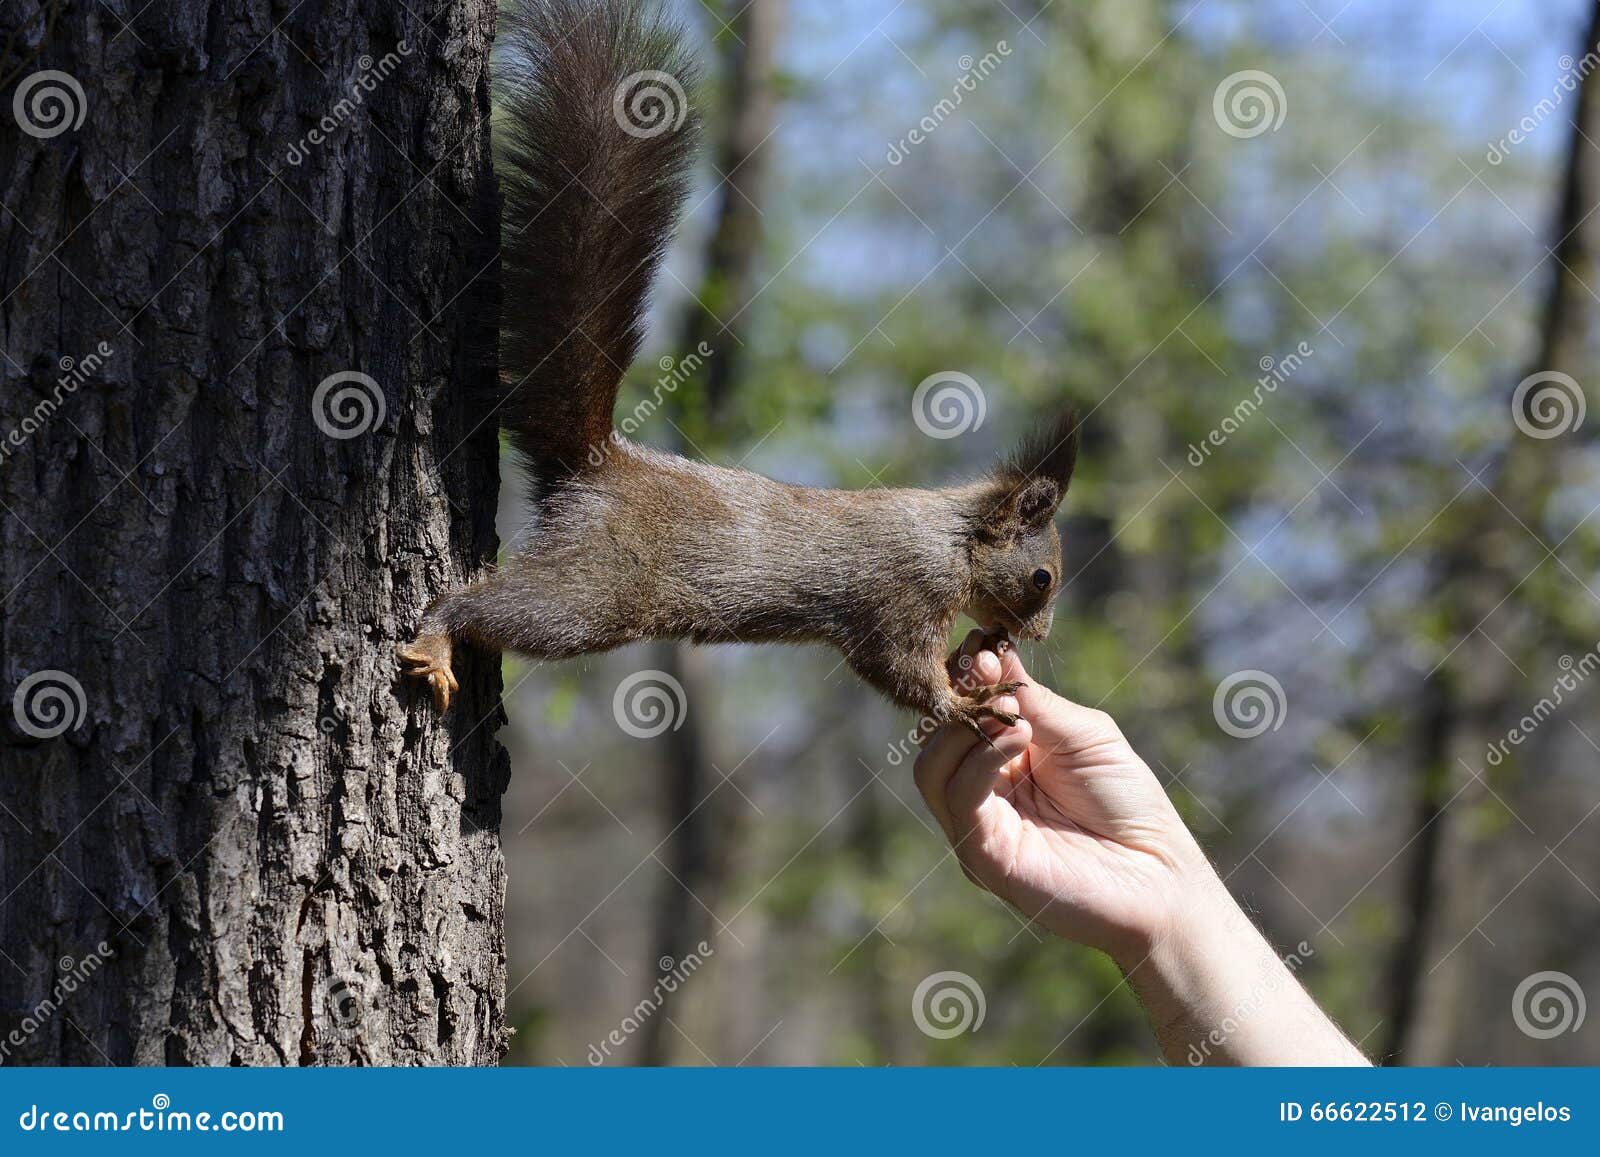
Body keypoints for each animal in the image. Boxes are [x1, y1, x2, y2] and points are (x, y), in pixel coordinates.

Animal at [398, 0, 1080, 739]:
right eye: (1042, 577)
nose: (1039, 637)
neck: (948, 540)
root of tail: (599, 462)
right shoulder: (895, 599)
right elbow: (895, 665)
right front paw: (962, 701)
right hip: (592, 592)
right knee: (499, 607)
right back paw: (439, 630)